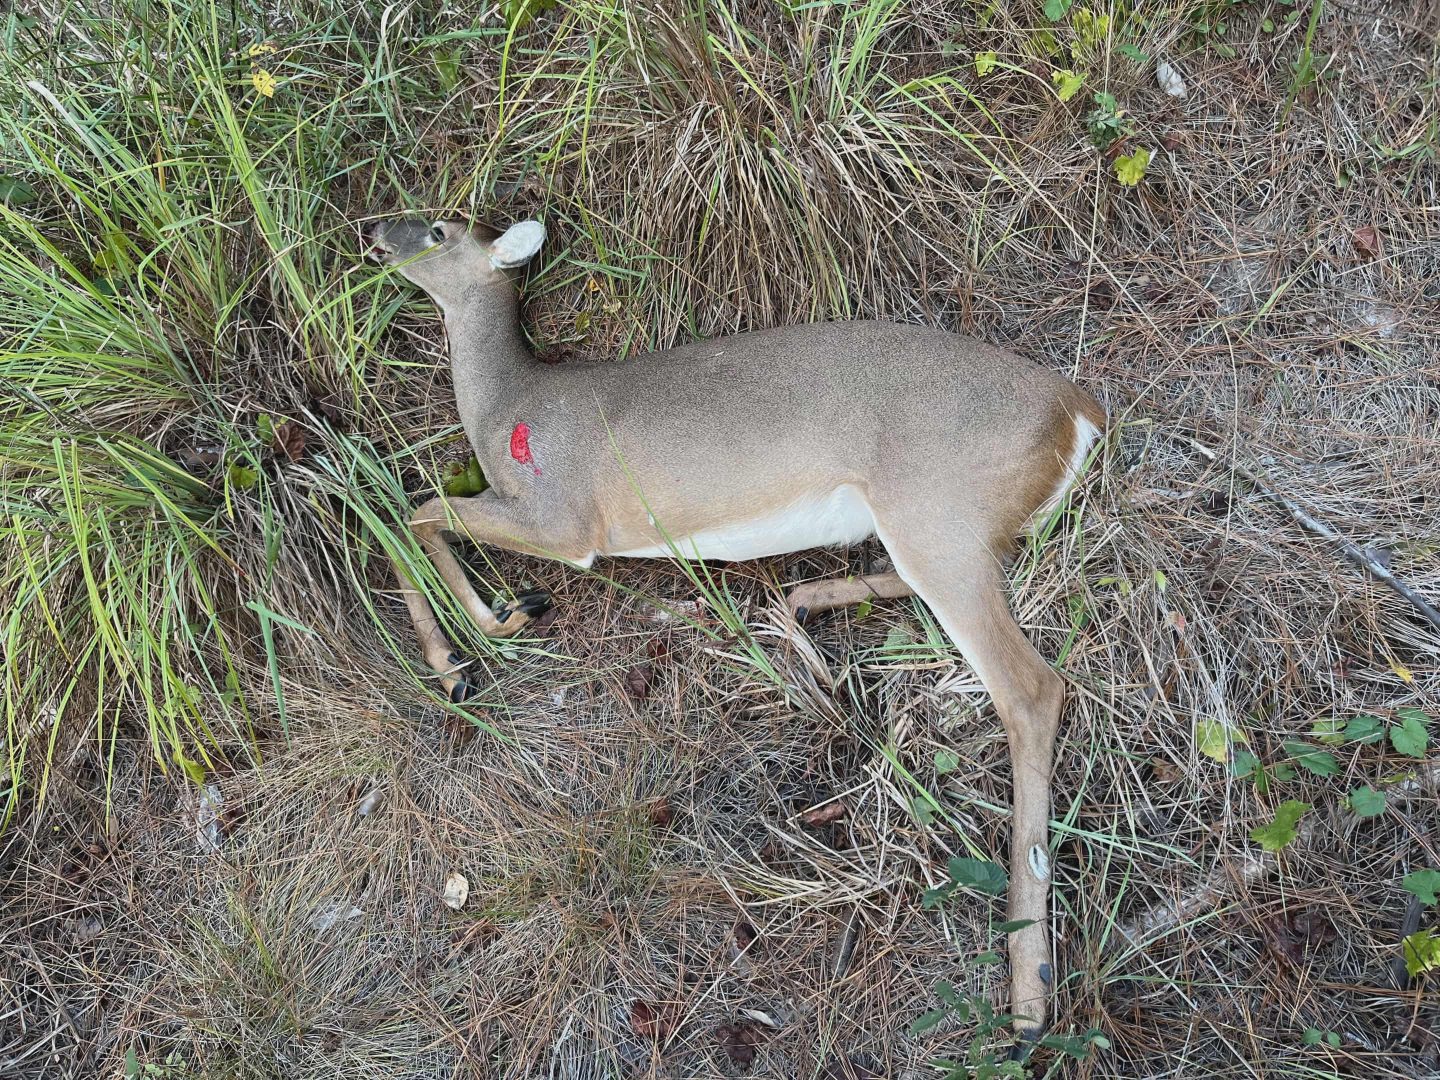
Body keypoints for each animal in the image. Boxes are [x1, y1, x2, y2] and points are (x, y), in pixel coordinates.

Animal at [363, 215, 1105, 1040]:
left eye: (438, 228)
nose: (373, 232)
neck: (509, 414)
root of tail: (1080, 411)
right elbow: (421, 513)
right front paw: (497, 624)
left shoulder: (565, 519)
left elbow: (416, 511)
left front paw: (468, 649)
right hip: (936, 526)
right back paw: (803, 605)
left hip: (937, 507)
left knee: (1032, 688)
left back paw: (1030, 992)